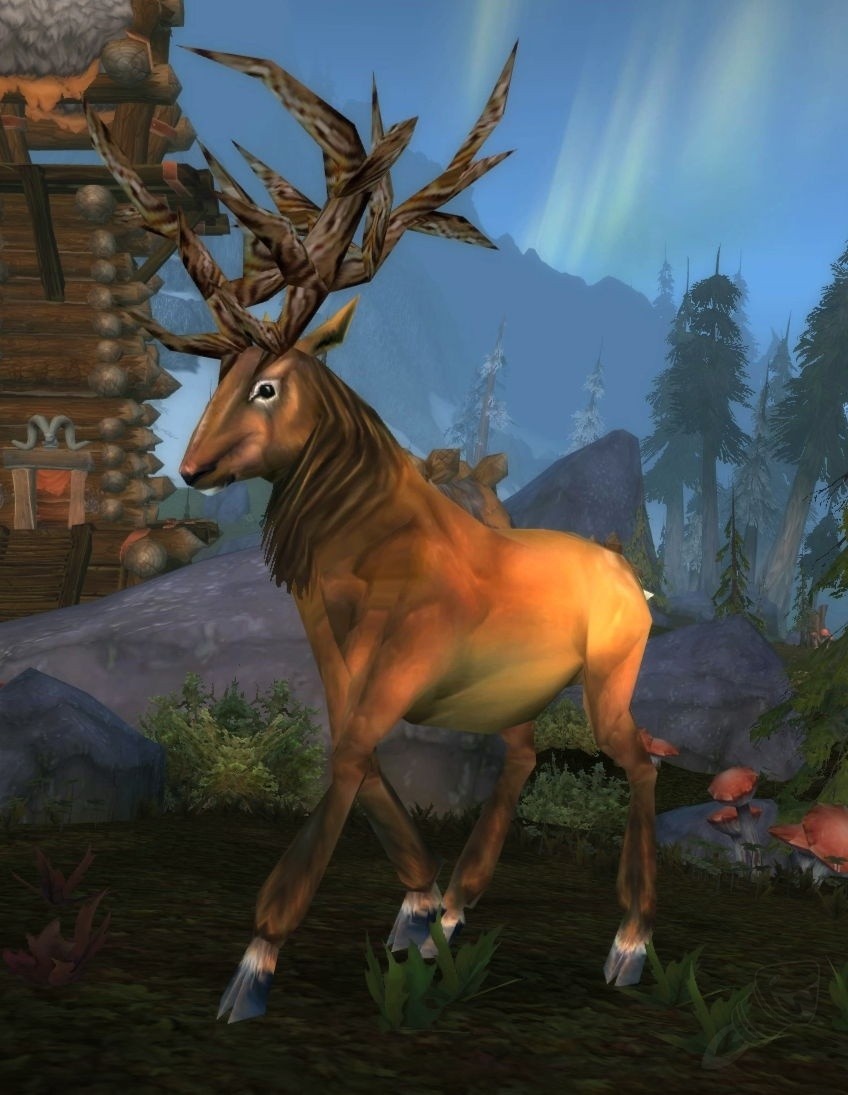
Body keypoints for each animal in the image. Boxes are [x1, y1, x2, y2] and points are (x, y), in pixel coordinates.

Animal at [85, 42, 658, 1024]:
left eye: (268, 384)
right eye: (220, 375)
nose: (192, 468)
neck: (352, 560)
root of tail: (634, 577)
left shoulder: (409, 657)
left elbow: (349, 755)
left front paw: (257, 962)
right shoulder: (336, 653)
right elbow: (359, 757)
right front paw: (419, 906)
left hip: (608, 681)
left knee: (644, 761)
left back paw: (630, 939)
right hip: (522, 695)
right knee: (523, 756)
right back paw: (463, 905)